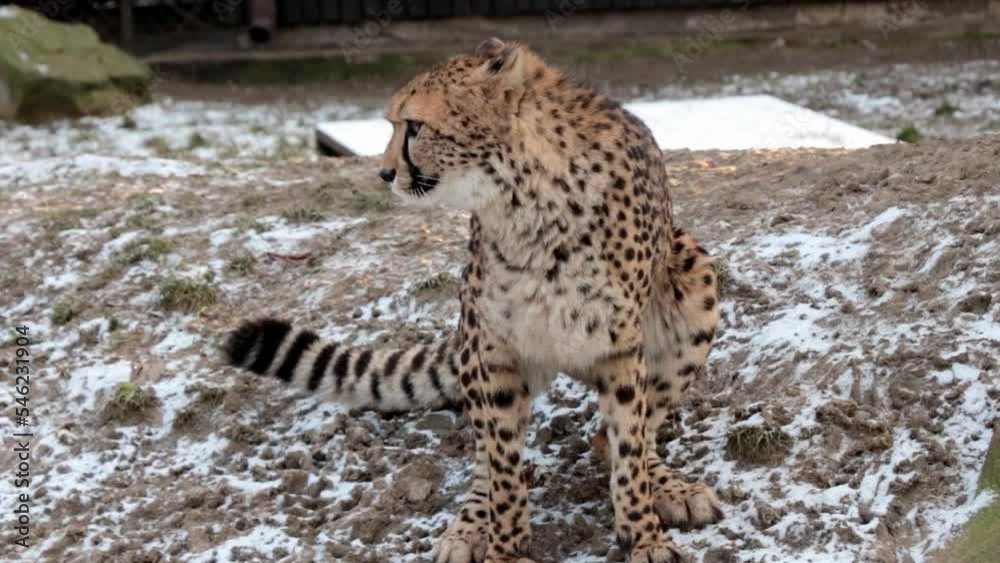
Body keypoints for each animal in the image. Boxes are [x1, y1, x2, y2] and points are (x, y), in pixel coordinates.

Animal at [224, 38, 722, 563]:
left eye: (414, 127)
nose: (384, 173)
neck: (528, 198)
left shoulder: (619, 349)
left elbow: (629, 447)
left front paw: (645, 537)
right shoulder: (496, 347)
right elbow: (502, 465)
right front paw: (503, 547)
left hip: (695, 277)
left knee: (621, 436)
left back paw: (671, 487)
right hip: (475, 339)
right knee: (489, 454)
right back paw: (468, 526)